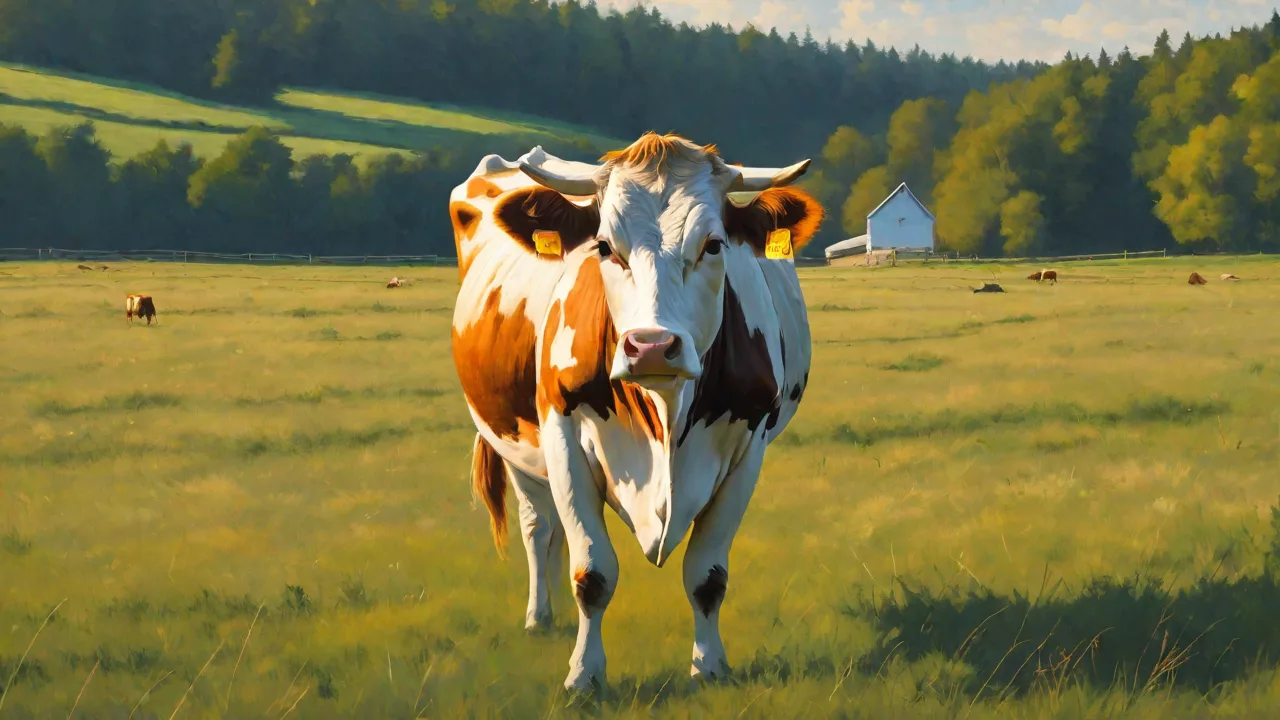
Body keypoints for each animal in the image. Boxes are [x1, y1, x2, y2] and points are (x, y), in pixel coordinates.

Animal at [450, 133, 821, 692]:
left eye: (714, 245)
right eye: (605, 247)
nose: (651, 346)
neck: (664, 414)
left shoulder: (747, 450)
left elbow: (707, 575)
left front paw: (709, 667)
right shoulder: (561, 436)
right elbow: (592, 572)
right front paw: (584, 676)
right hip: (512, 444)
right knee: (539, 526)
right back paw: (540, 617)